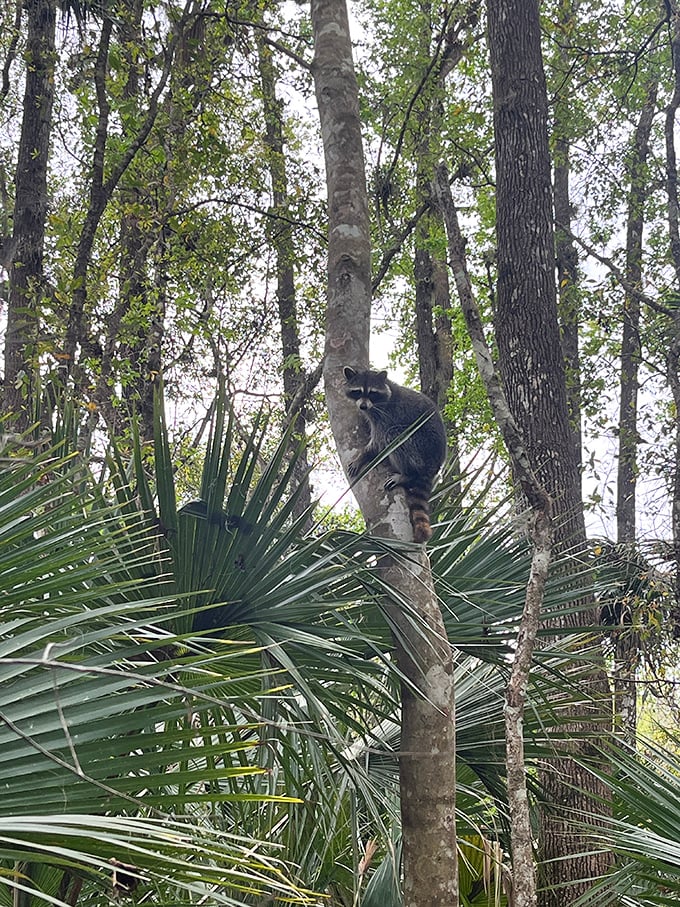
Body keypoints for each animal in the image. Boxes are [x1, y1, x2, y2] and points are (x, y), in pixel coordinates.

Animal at [343, 366, 447, 543]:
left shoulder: (386, 415)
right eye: (357, 392)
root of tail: (435, 464)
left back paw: (407, 474)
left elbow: (377, 443)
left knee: (395, 435)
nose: (363, 407)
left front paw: (362, 457)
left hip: (420, 446)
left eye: (372, 393)